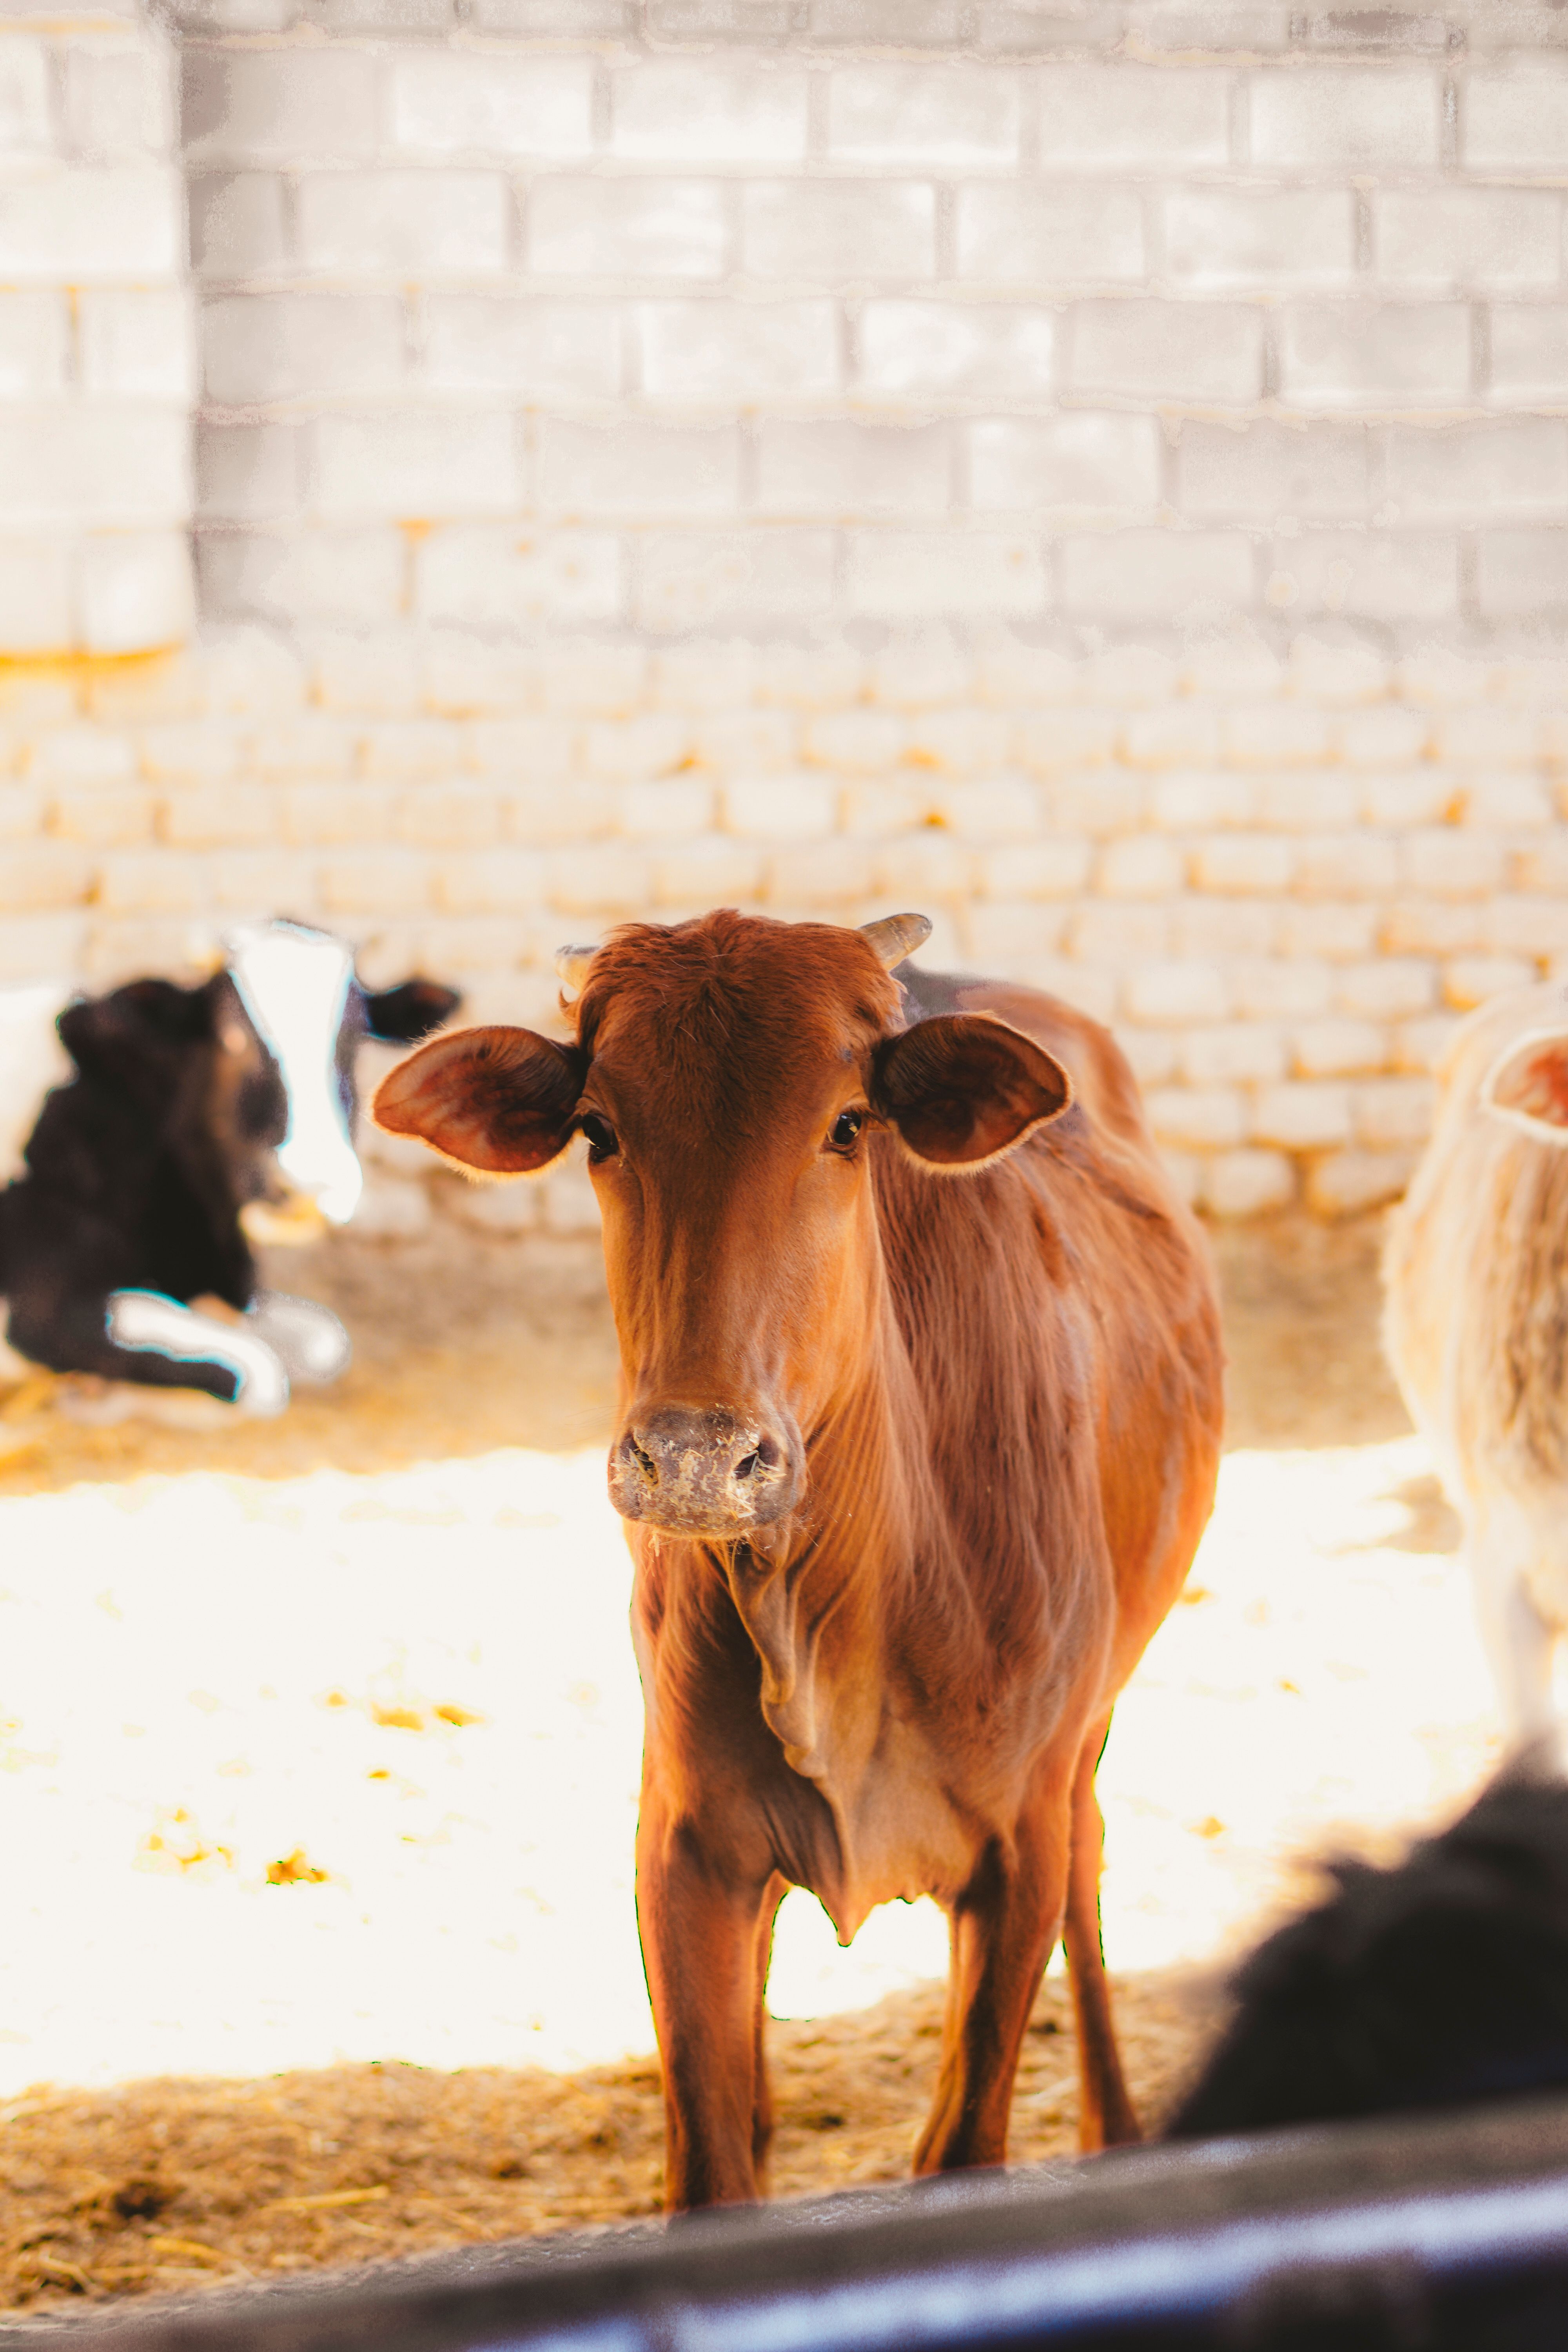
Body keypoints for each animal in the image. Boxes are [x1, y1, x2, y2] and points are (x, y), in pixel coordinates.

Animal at [0, 921, 459, 1416]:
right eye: (230, 1039)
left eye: (354, 1043)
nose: (309, 1186)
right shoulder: (41, 1305)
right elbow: (259, 1374)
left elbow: (327, 1344)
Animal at [373, 908, 1224, 2205]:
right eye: (598, 1128)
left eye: (847, 1123)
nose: (693, 1457)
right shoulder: (683, 1842)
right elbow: (713, 2160)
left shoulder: (1017, 1847)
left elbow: (963, 2138)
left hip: (1088, 1737)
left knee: (1091, 1862)